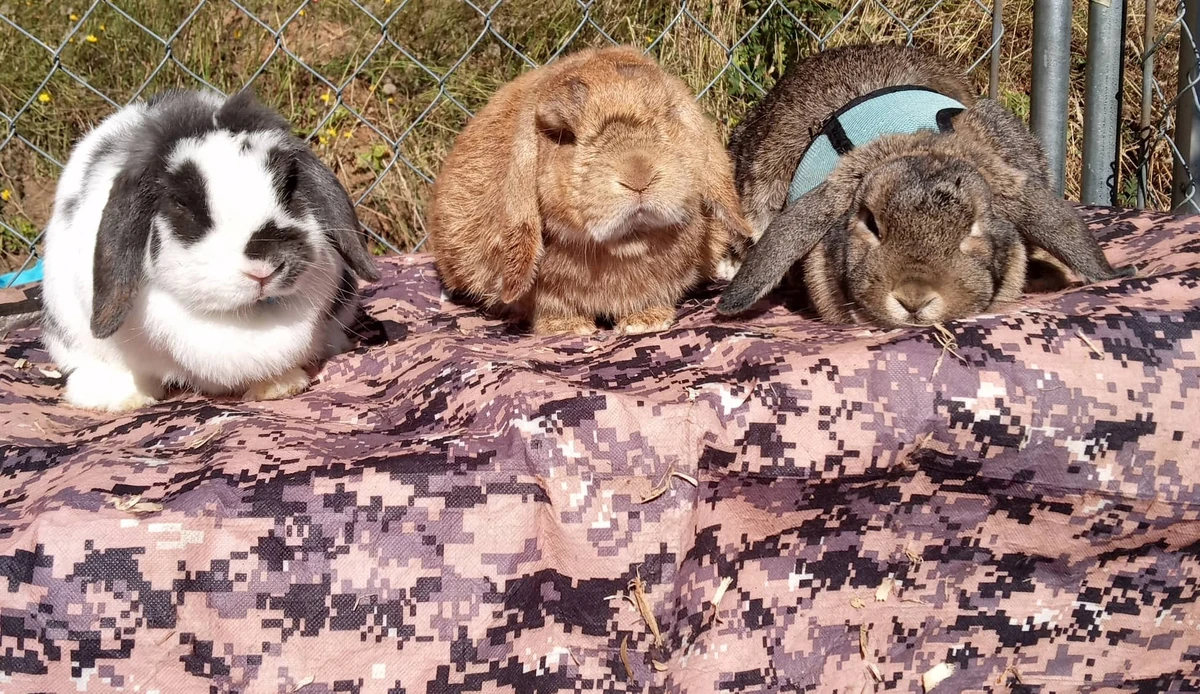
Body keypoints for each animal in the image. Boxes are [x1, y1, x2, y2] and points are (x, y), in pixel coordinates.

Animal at [427, 45, 753, 336]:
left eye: (667, 116)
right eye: (566, 136)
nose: (638, 175)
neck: (629, 243)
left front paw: (645, 321)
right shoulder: (545, 295)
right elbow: (552, 307)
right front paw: (568, 328)